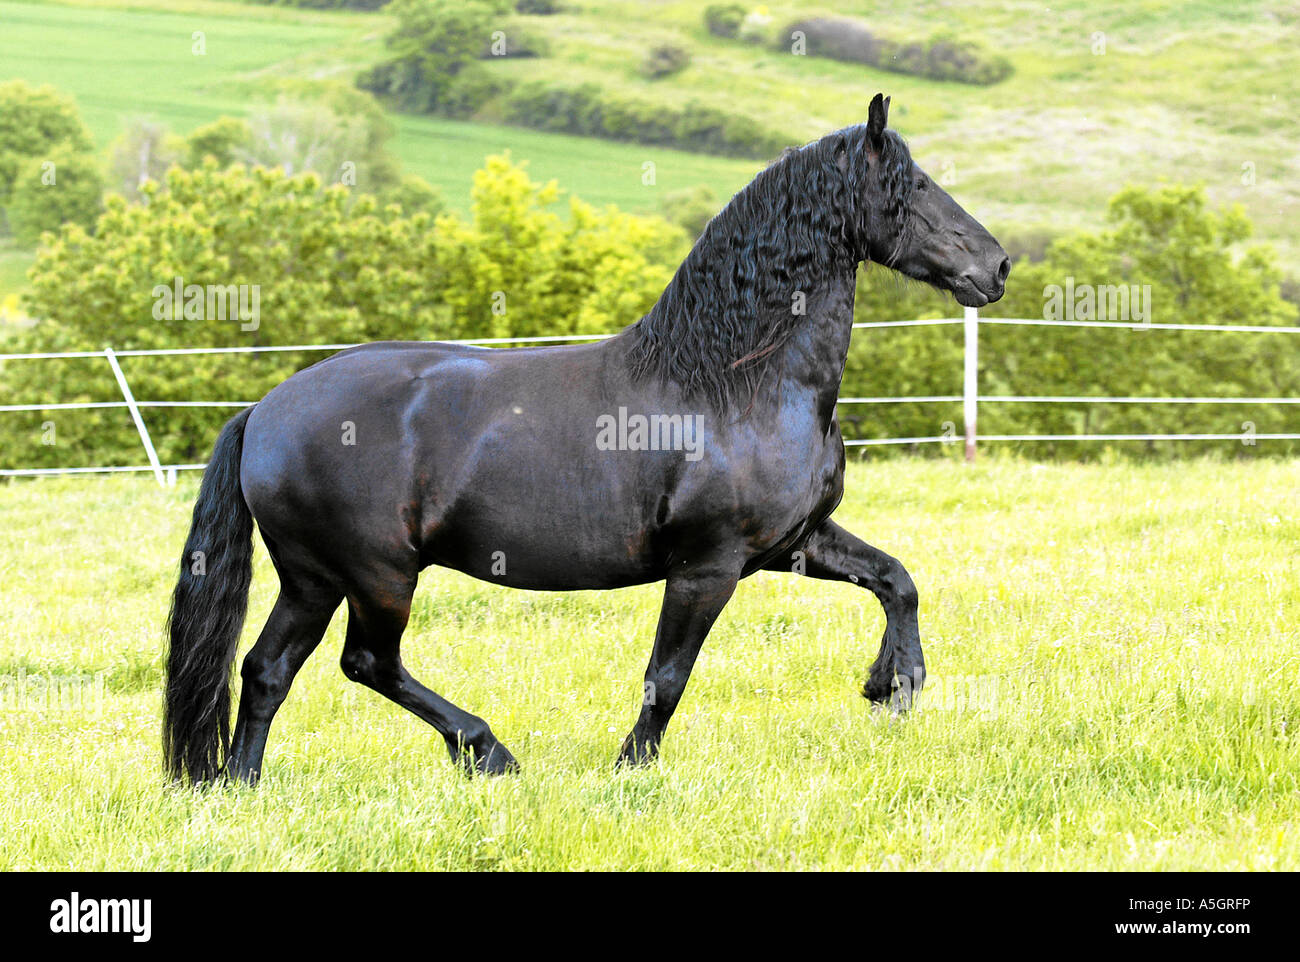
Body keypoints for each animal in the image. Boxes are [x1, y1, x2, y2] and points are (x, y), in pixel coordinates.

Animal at [163, 94, 1009, 783]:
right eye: (916, 186)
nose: (997, 265)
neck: (734, 383)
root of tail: (264, 411)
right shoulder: (709, 565)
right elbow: (667, 676)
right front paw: (631, 768)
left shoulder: (793, 542)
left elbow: (897, 580)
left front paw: (892, 684)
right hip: (377, 575)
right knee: (367, 662)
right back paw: (488, 752)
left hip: (314, 578)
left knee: (267, 669)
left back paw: (242, 784)